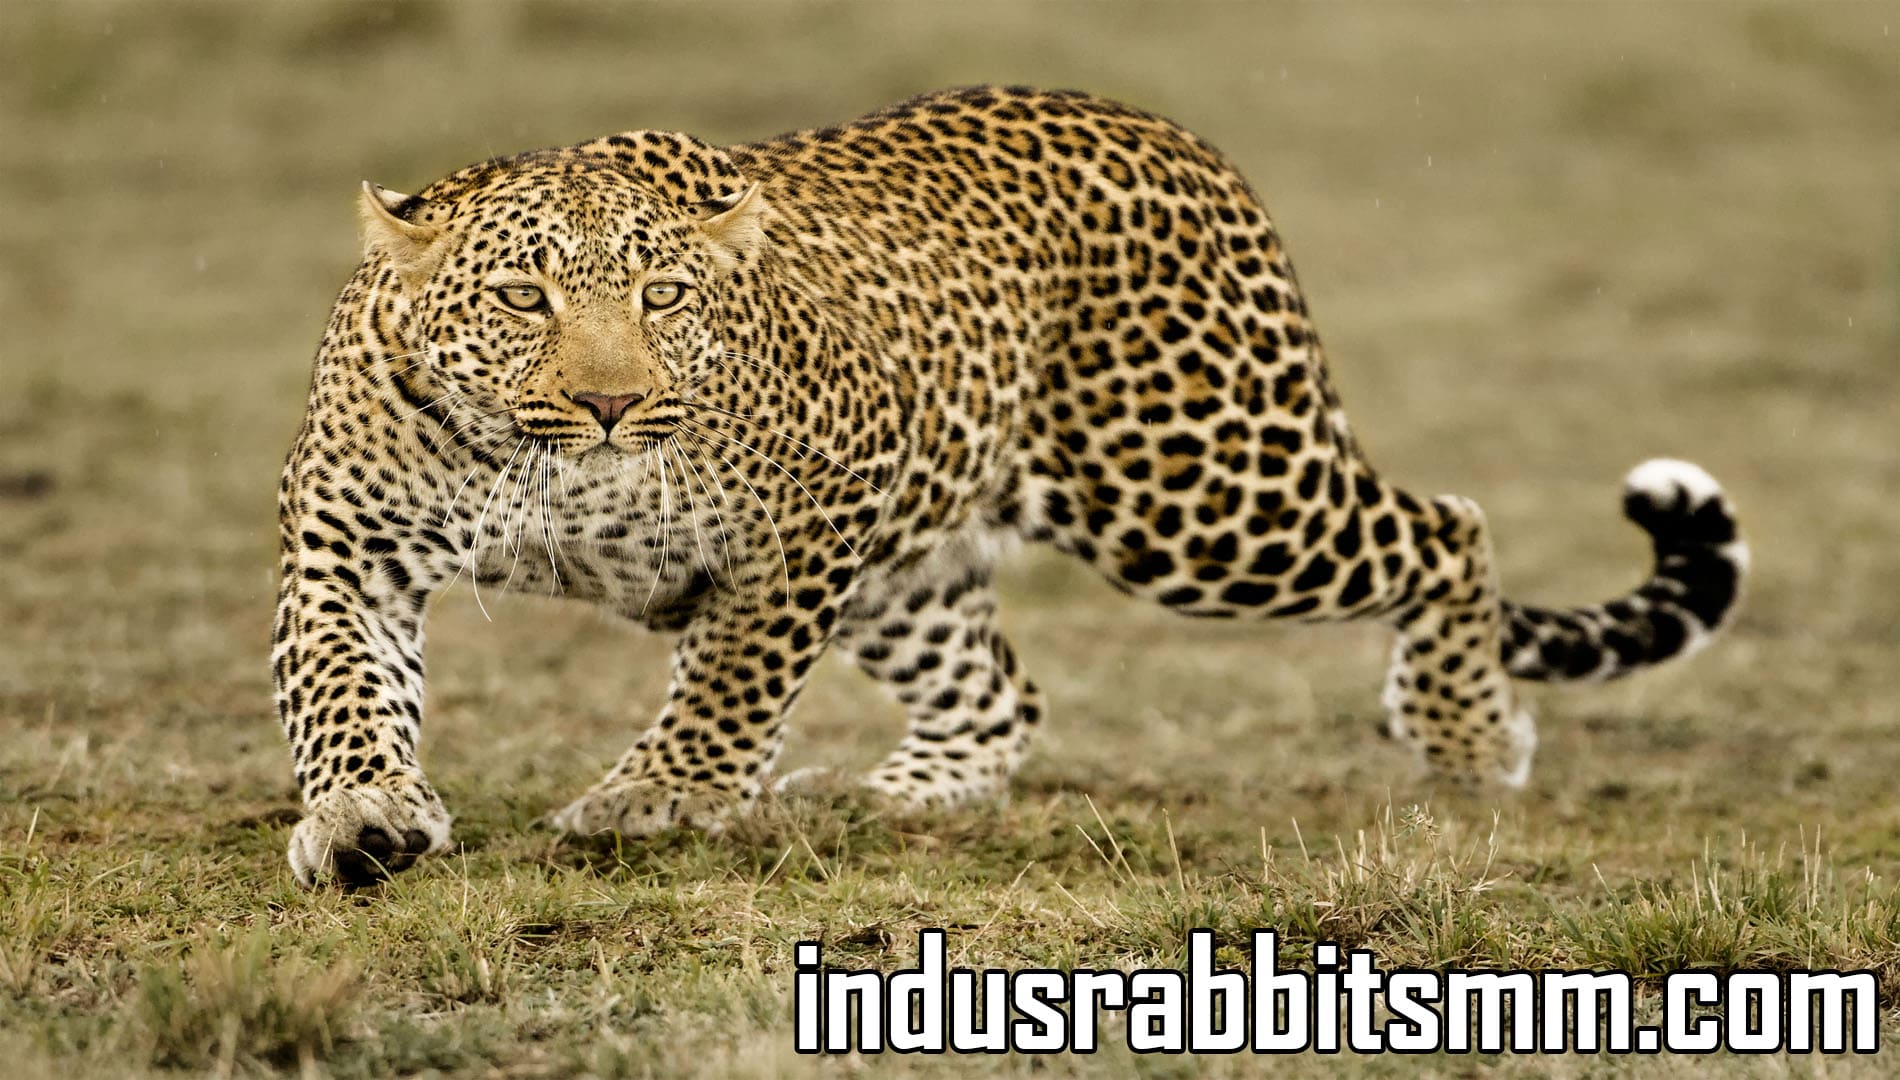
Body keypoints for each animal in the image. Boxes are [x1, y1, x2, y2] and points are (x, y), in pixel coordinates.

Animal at [275, 86, 1748, 886]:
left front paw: (661, 799)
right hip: (929, 564)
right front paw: (362, 820)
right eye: (523, 299)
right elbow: (341, 696)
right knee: (998, 692)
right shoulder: (347, 545)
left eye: (665, 297)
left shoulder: (817, 507)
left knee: (1448, 528)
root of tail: (1175, 136)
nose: (611, 404)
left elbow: (730, 682)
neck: (549, 473)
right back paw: (891, 797)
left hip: (1203, 491)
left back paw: (1467, 737)